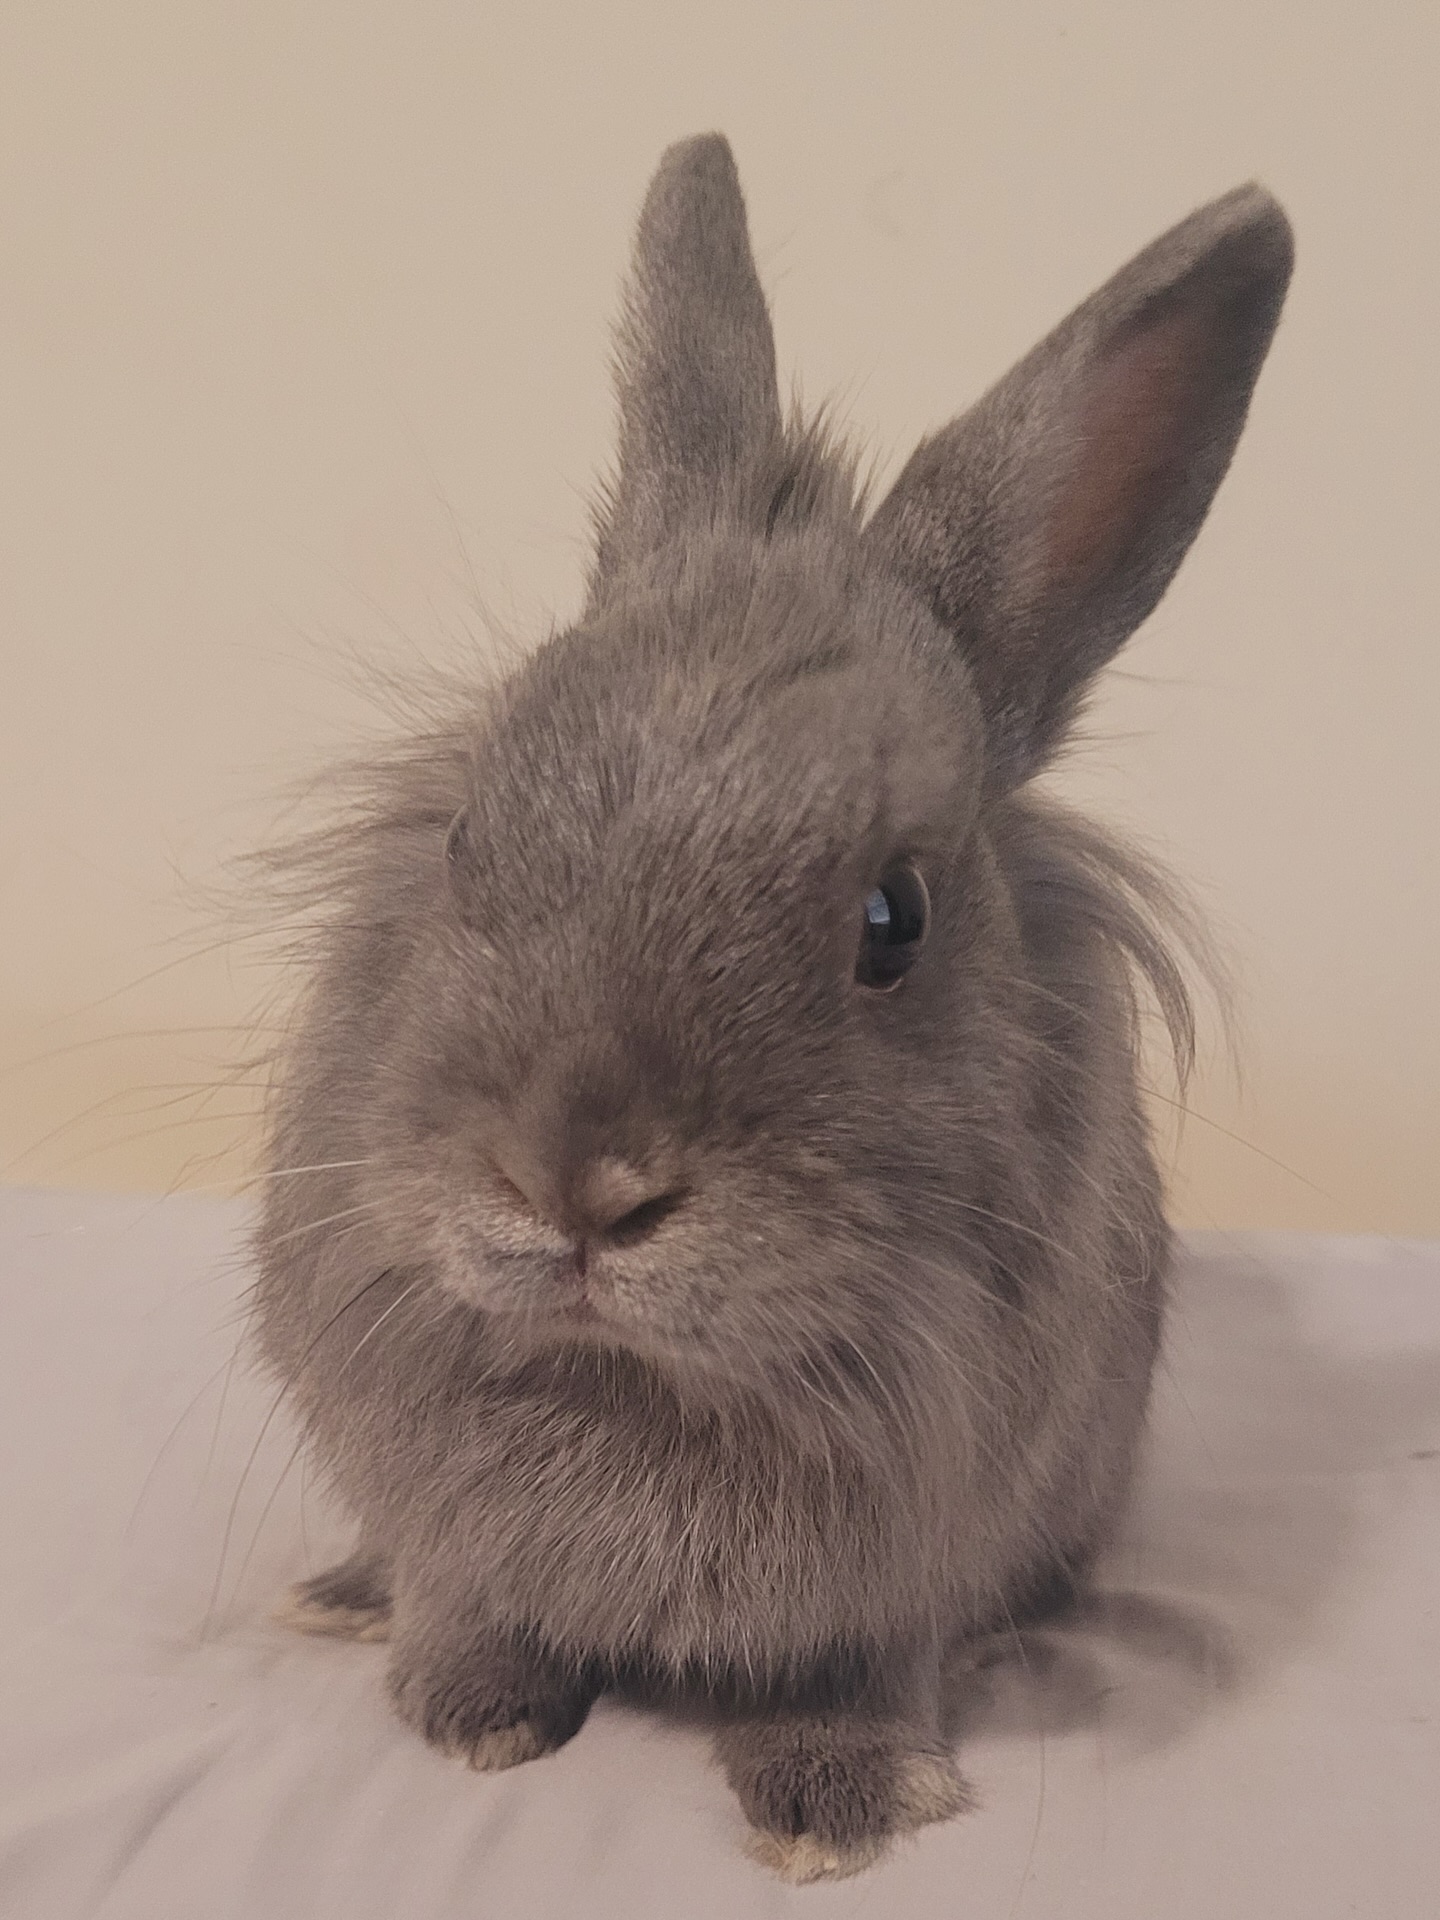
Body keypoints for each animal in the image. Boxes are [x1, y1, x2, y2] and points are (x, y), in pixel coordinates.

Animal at [254, 134, 1292, 1881]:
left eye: (894, 919)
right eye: (465, 832)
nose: (576, 1185)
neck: (633, 1380)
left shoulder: (909, 1575)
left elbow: (854, 1668)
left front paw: (836, 1805)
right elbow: (468, 1596)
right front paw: (465, 1710)